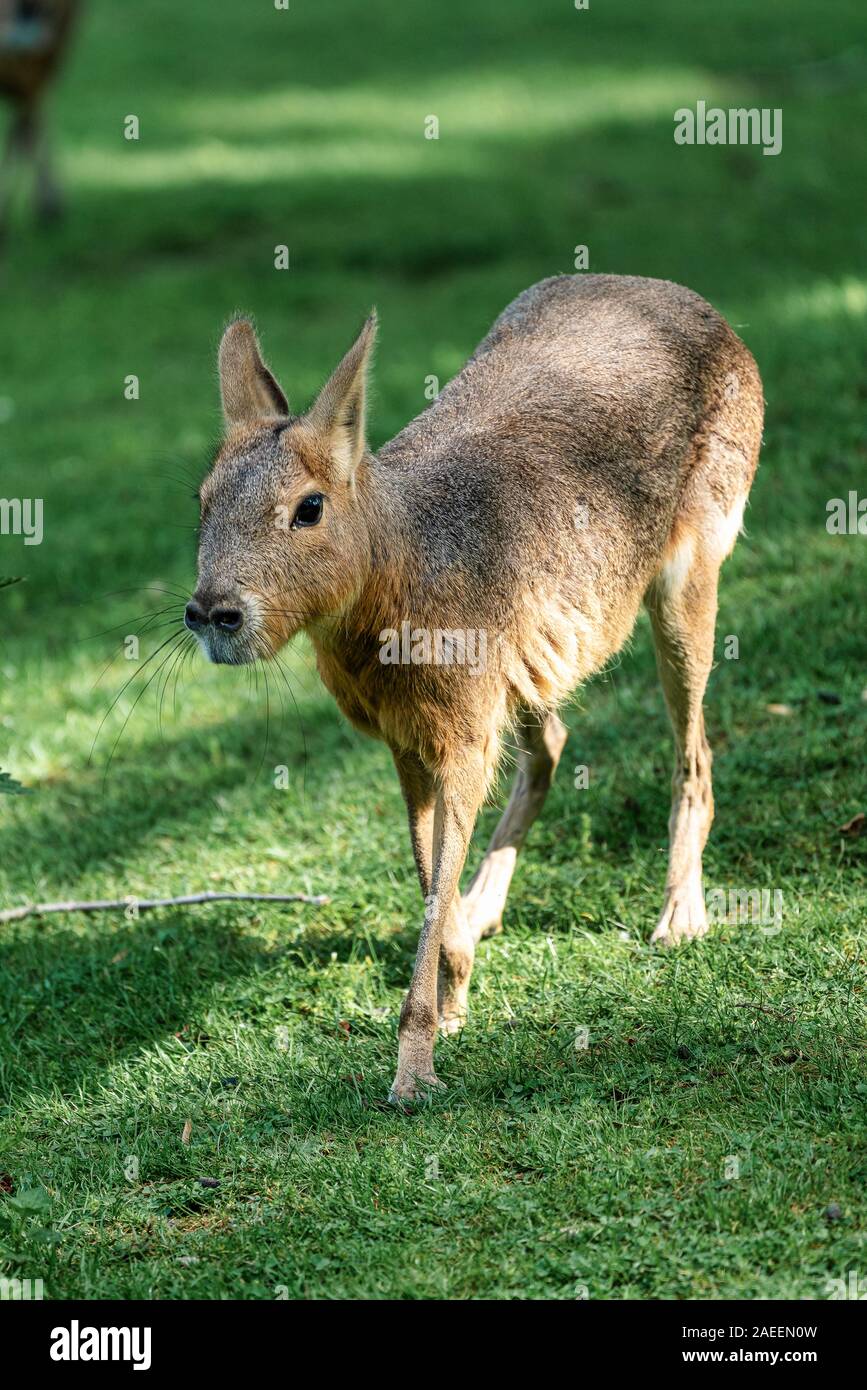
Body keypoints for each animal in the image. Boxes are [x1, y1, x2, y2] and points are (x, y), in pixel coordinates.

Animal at [184, 273, 763, 1102]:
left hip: (686, 581)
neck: (393, 573)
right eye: (201, 501)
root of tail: (680, 295)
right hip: (531, 665)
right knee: (551, 743)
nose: (211, 614)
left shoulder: (458, 736)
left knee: (695, 753)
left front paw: (413, 1071)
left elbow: (433, 895)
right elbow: (431, 877)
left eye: (309, 507)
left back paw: (680, 916)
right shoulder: (408, 744)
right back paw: (487, 903)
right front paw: (456, 993)